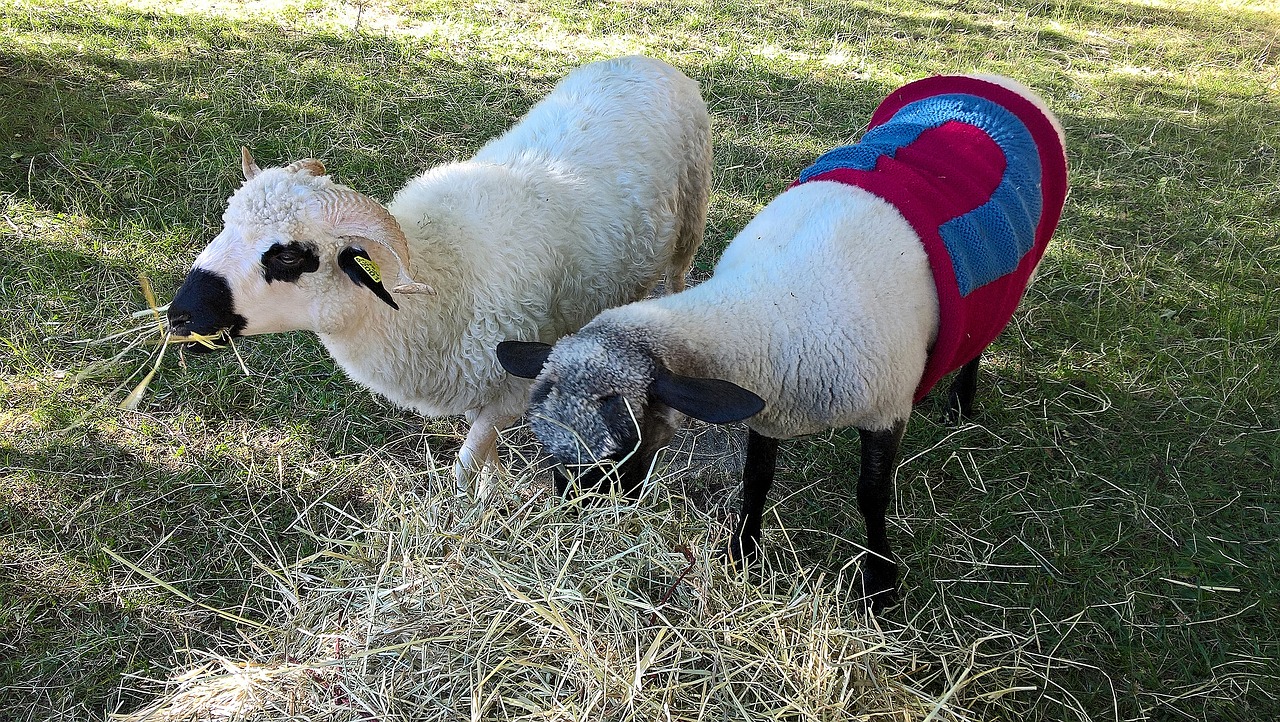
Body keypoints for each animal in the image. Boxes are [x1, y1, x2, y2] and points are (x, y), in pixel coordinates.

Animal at [165, 56, 712, 490]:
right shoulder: (475, 384)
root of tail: (643, 60)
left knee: (680, 281)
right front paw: (495, 491)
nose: (178, 316)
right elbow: (484, 456)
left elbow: (465, 465)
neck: (441, 278)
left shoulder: (510, 388)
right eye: (225, 222)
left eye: (288, 256)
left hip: (691, 215)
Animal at [497, 74, 1069, 611]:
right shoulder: (768, 402)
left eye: (620, 448)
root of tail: (992, 81)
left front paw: (880, 582)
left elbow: (872, 495)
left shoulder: (885, 406)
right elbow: (757, 480)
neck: (769, 303)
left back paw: (962, 402)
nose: (573, 514)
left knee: (980, 339)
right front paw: (742, 553)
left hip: (1015, 276)